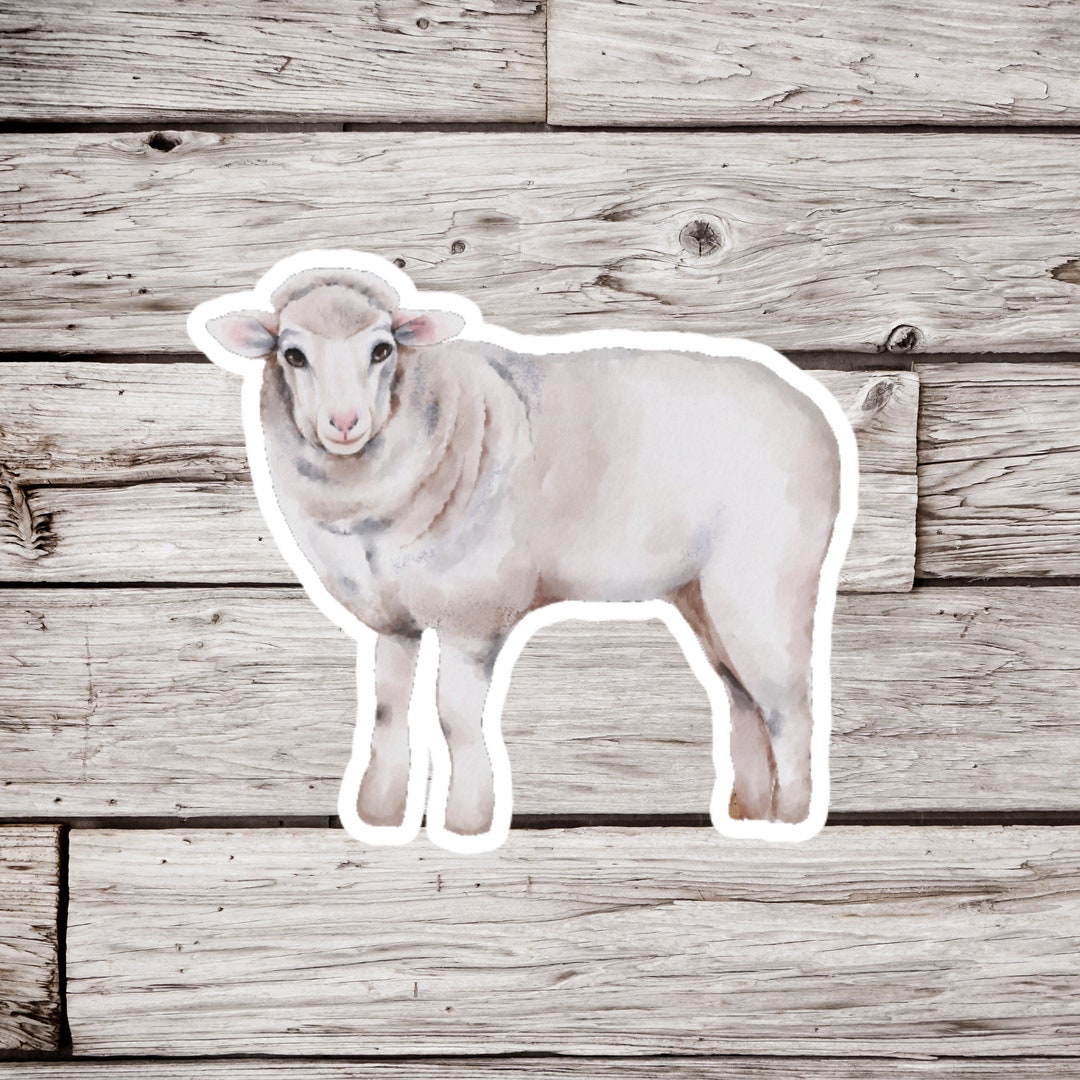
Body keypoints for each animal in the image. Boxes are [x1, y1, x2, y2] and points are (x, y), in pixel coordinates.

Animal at [189, 250, 857, 853]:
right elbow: (387, 710)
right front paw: (378, 815)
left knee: (790, 705)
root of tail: (816, 415)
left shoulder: (472, 611)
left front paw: (466, 823)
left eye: (382, 350)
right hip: (704, 595)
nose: (345, 423)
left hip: (766, 581)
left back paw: (791, 821)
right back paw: (748, 813)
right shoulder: (394, 619)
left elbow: (455, 719)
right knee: (744, 700)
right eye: (292, 355)